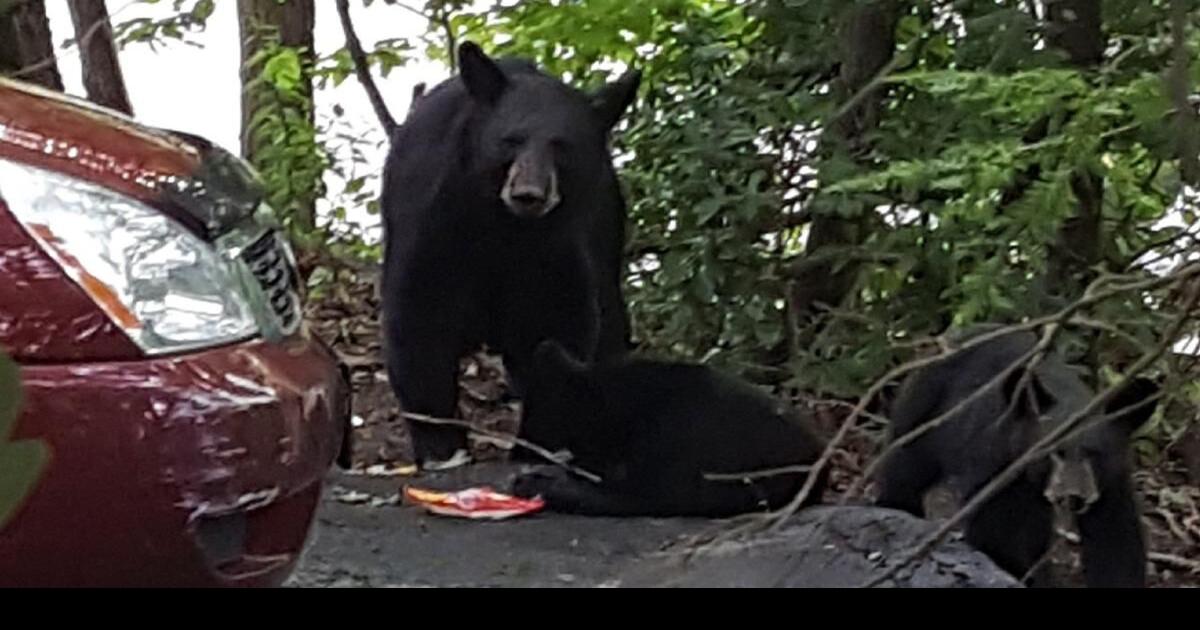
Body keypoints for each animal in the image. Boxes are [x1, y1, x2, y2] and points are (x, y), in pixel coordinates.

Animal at [379, 42, 640, 468]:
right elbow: (420, 326)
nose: (528, 194)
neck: (502, 229)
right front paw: (443, 448)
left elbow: (555, 331)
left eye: (562, 145)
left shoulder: (554, 251)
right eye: (510, 140)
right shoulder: (434, 233)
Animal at [874, 324, 1160, 587]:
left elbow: (1115, 544)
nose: (1073, 495)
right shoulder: (998, 468)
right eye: (1053, 452)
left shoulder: (1110, 484)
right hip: (921, 413)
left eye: (1095, 453)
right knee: (904, 470)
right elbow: (997, 534)